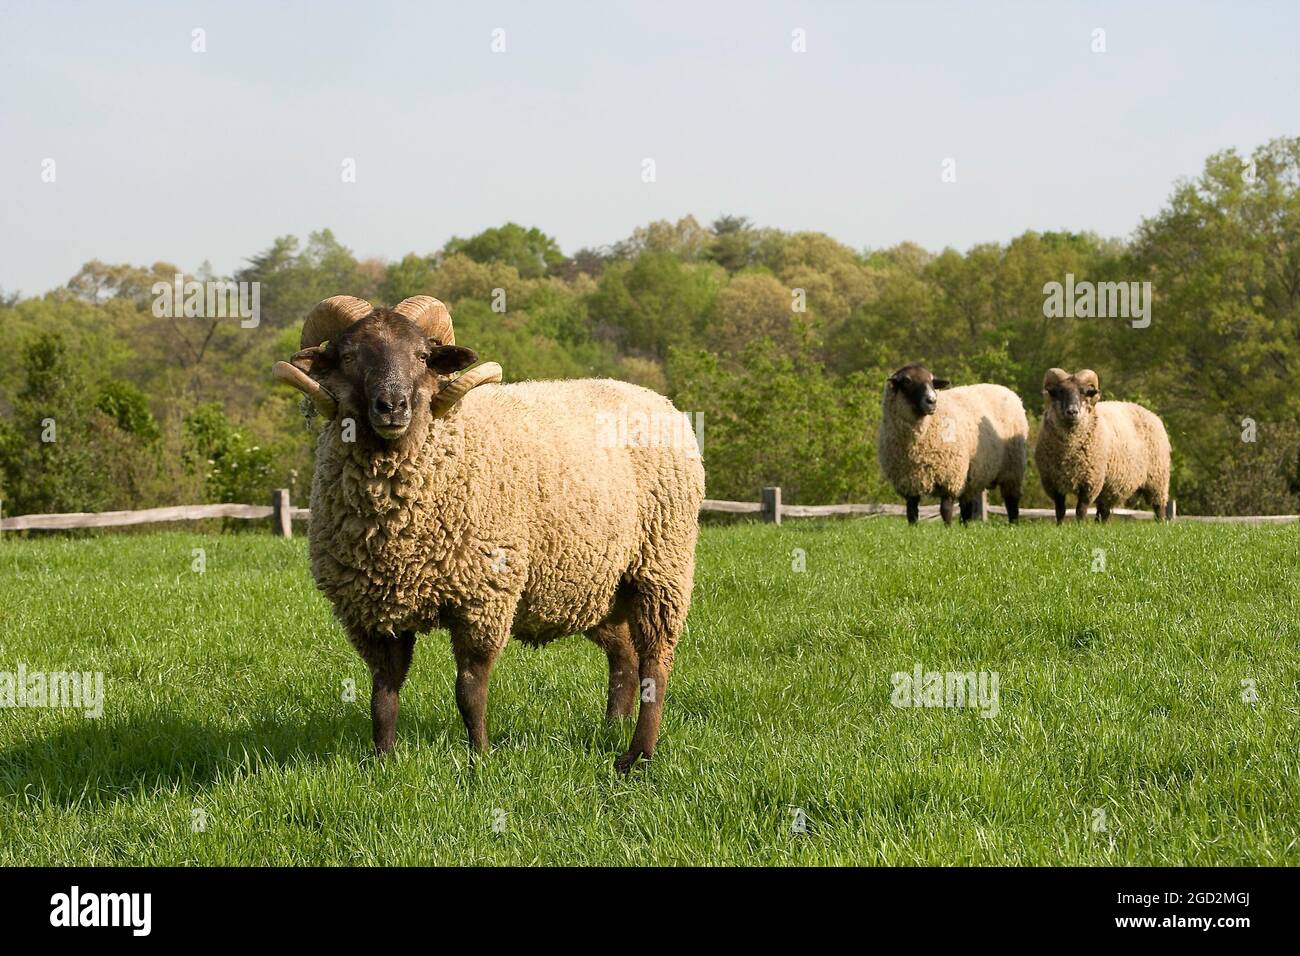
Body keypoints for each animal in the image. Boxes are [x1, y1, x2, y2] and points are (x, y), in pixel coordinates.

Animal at [273, 295, 705, 772]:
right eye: (349, 357)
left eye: (422, 356)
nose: (393, 406)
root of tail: (658, 398)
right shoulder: (371, 611)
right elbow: (383, 695)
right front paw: (383, 762)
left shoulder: (483, 595)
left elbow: (469, 690)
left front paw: (479, 759)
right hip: (595, 585)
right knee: (624, 655)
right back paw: (612, 727)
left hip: (660, 567)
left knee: (655, 663)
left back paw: (637, 755)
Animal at [877, 363, 1029, 525]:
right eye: (907, 381)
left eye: (932, 381)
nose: (932, 400)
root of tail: (1006, 390)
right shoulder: (908, 482)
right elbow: (911, 512)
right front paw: (914, 528)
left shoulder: (950, 476)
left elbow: (946, 510)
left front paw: (948, 528)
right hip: (971, 477)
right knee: (967, 506)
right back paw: (965, 525)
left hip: (1012, 468)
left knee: (1011, 501)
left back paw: (1013, 523)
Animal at [1033, 368, 1170, 523]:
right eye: (1059, 392)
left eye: (1084, 392)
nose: (1072, 412)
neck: (1069, 449)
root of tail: (1152, 414)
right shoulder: (1053, 483)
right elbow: (1060, 510)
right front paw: (1060, 526)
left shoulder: (1090, 482)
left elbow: (1081, 510)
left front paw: (1079, 526)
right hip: (1111, 485)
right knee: (1104, 511)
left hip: (1157, 480)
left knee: (1159, 508)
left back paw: (1161, 523)